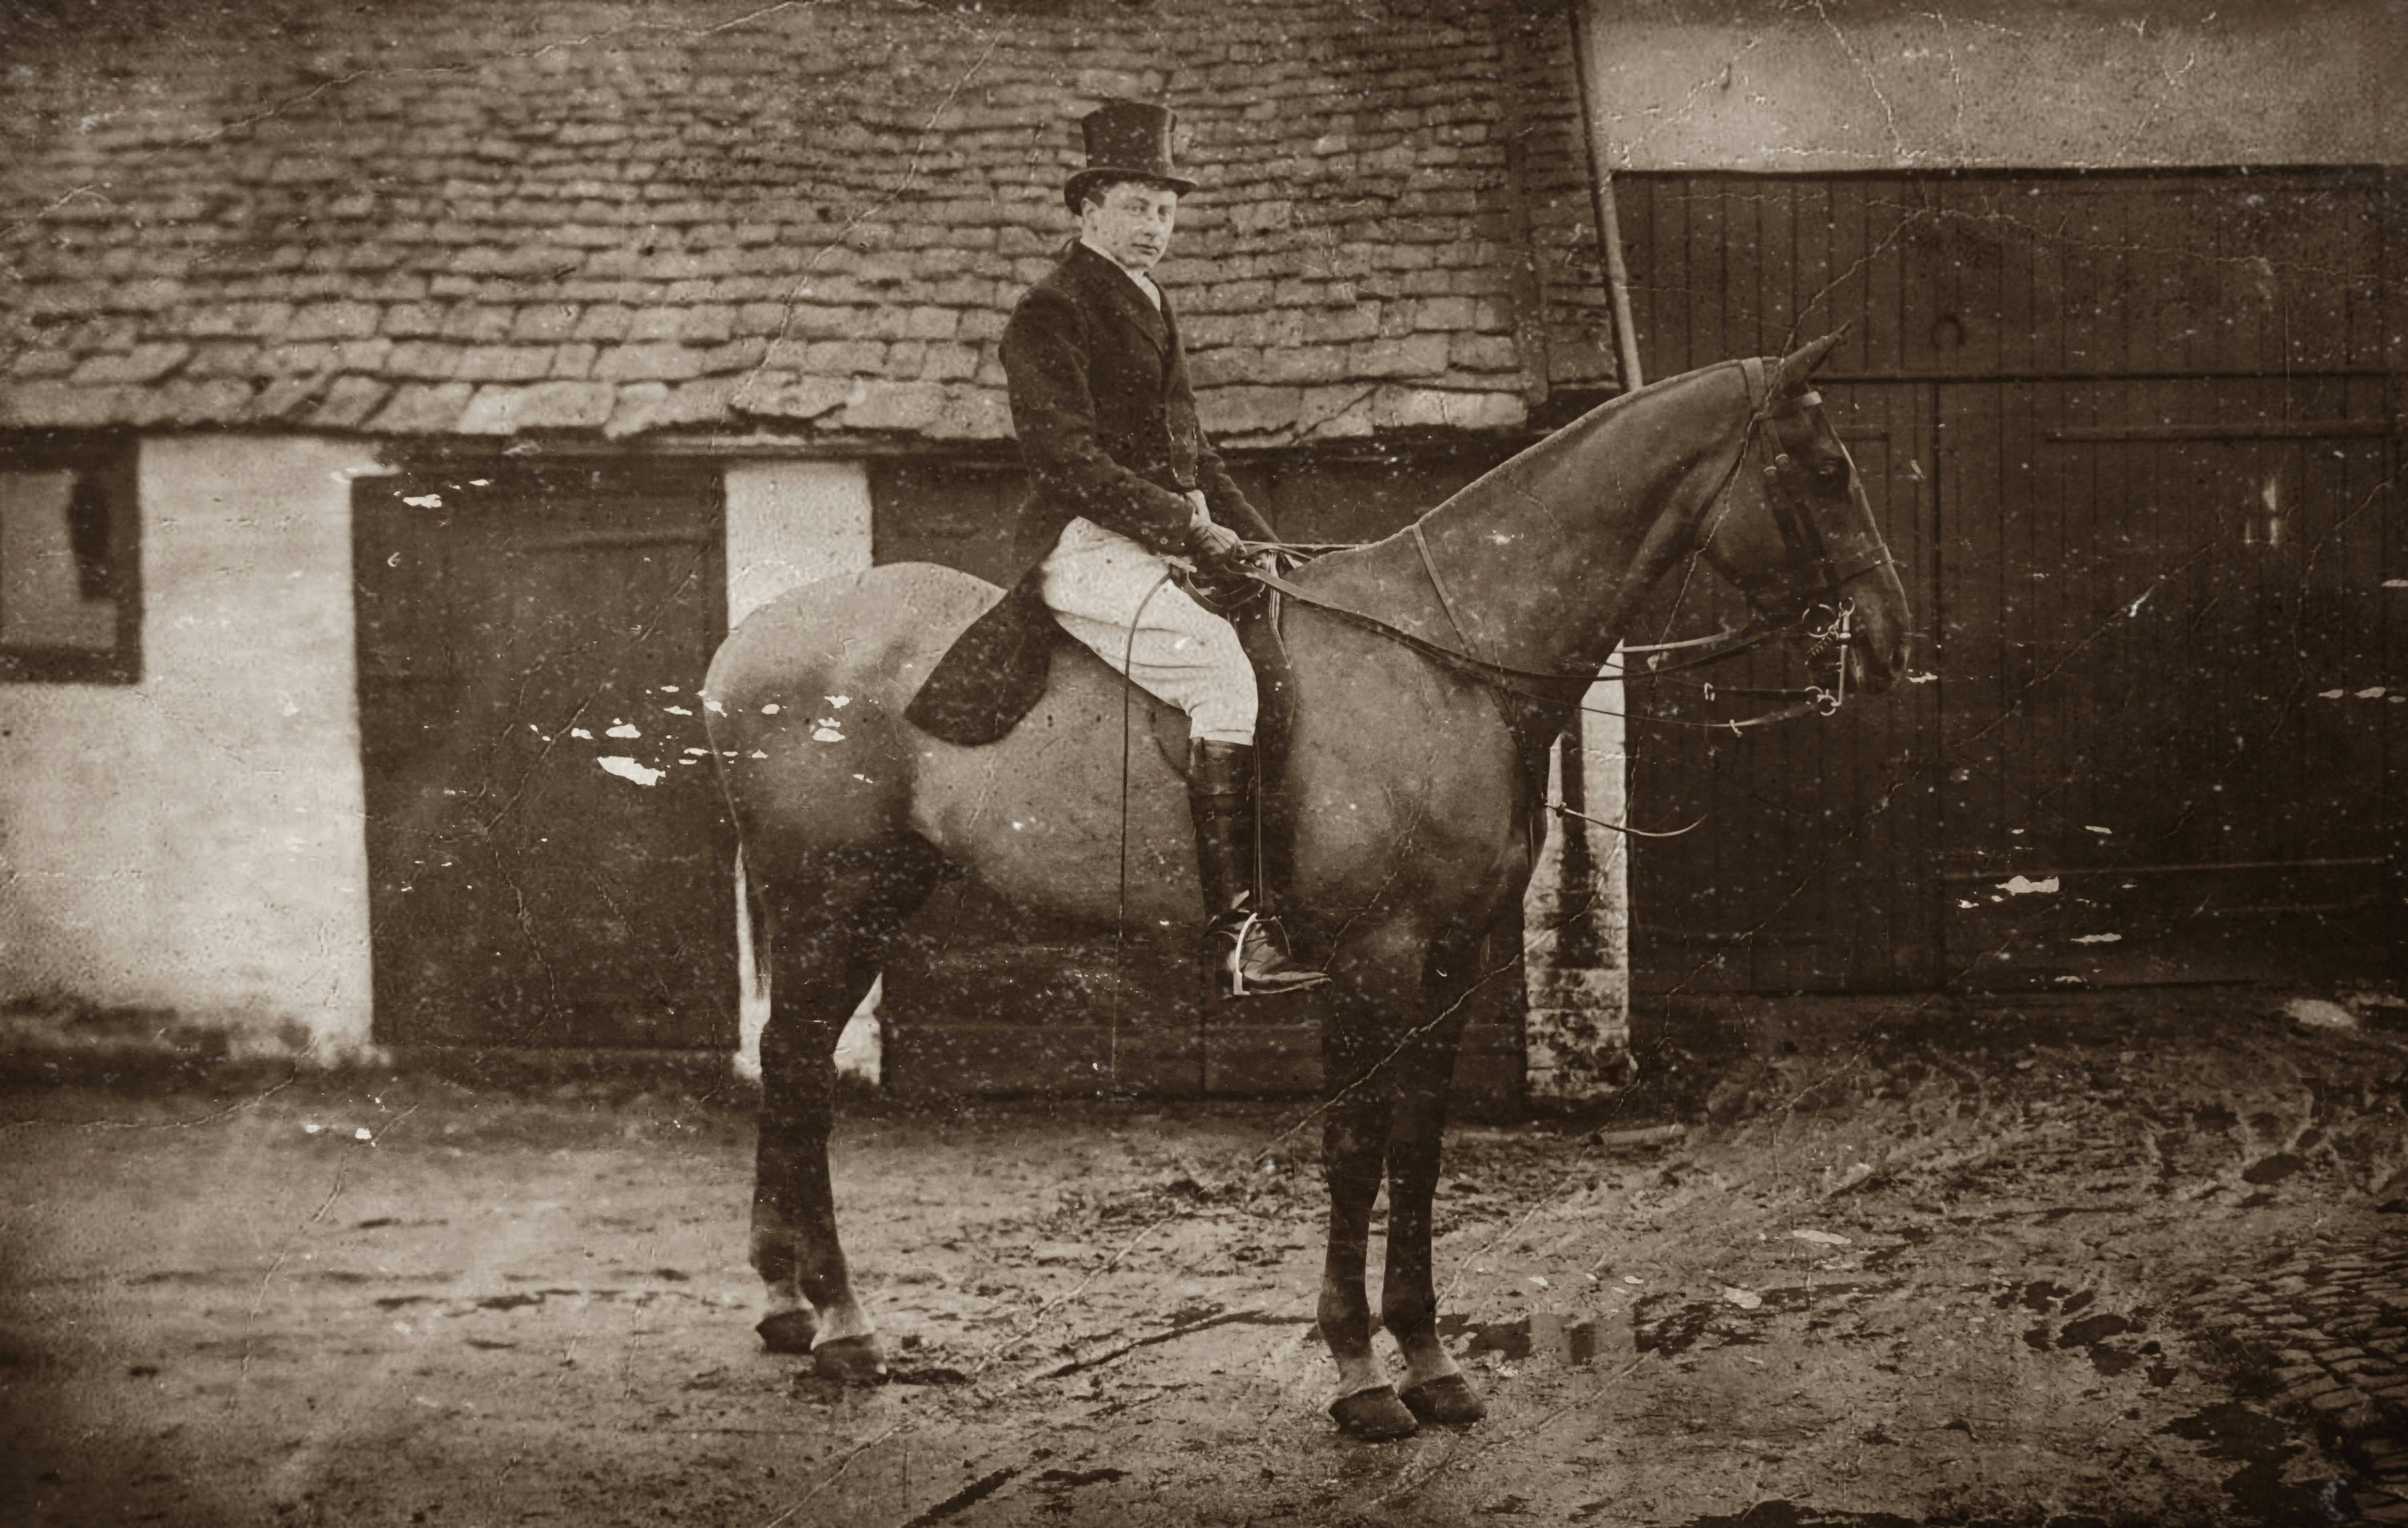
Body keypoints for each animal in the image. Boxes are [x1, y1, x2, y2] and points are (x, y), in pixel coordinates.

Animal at [699, 333, 1911, 1439]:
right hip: (830, 901)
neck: (1446, 656)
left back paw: (787, 1300)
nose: (1888, 646)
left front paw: (1431, 1360)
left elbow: (1417, 1151)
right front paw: (1360, 1373)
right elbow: (1354, 1151)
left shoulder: (1454, 957)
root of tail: (745, 644)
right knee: (800, 1066)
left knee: (793, 1061)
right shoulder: (1373, 960)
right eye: (1825, 470)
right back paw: (844, 1323)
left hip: (871, 901)